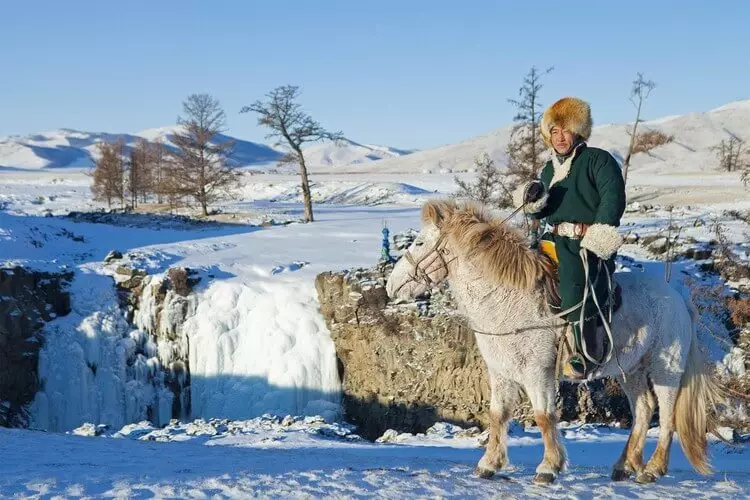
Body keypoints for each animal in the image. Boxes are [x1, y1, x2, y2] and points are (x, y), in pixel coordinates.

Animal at [384, 198, 724, 484]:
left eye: (419, 242)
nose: (391, 285)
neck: (507, 301)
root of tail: (678, 298)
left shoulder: (538, 372)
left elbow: (544, 416)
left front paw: (548, 467)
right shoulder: (501, 373)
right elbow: (497, 415)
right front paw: (489, 464)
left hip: (666, 369)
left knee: (666, 415)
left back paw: (652, 469)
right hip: (631, 370)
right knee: (642, 410)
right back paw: (624, 466)